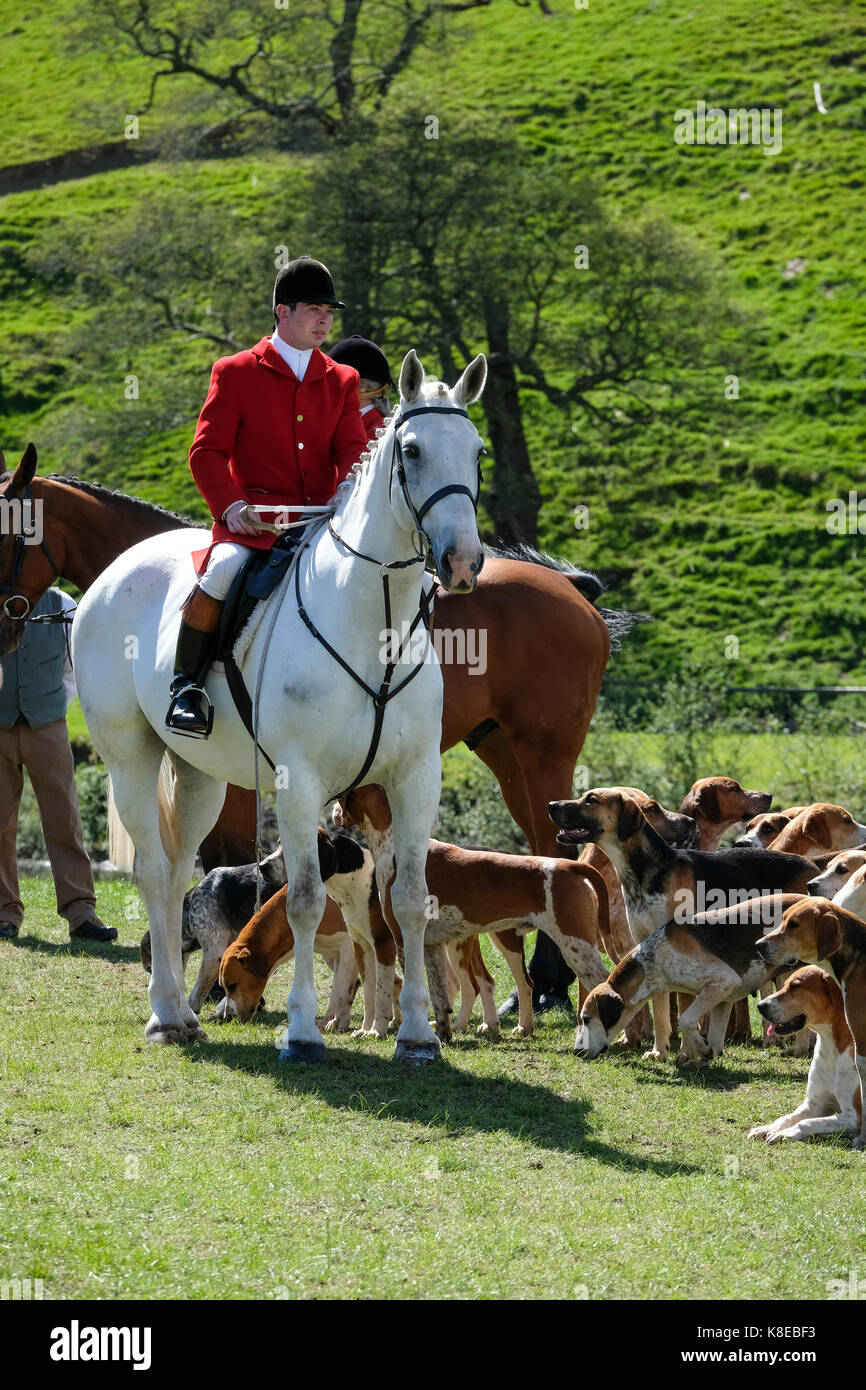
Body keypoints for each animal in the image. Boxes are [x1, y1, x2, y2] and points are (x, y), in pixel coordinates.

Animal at [70, 350, 486, 1063]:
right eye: (411, 449)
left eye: (477, 451)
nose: (462, 562)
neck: (373, 619)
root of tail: (115, 571)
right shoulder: (299, 783)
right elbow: (305, 902)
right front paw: (302, 1031)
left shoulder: (415, 778)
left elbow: (409, 900)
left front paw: (417, 1036)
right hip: (129, 758)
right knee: (152, 872)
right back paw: (163, 1014)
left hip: (201, 776)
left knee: (178, 876)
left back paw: (184, 1012)